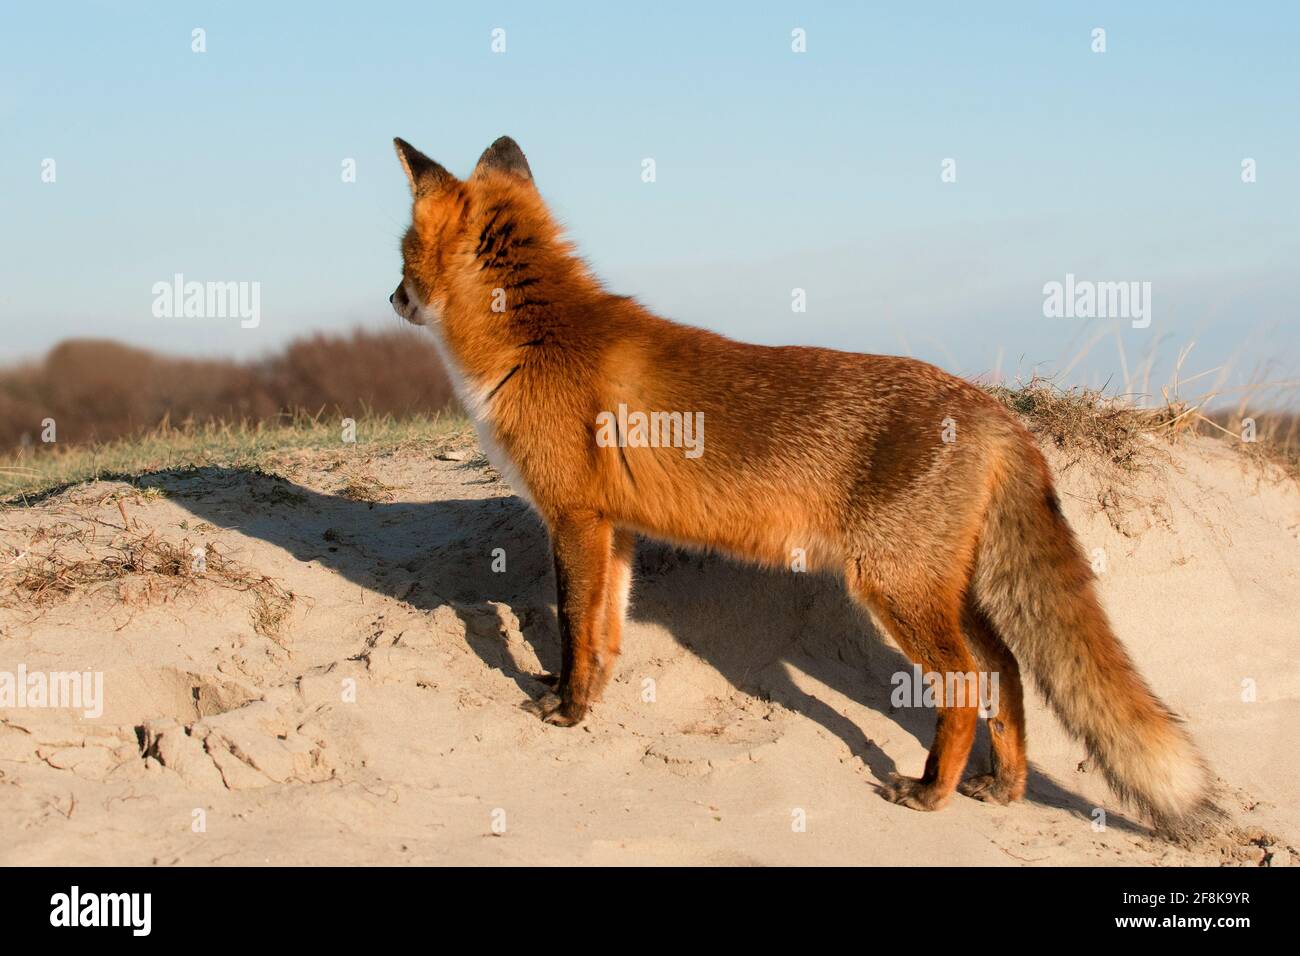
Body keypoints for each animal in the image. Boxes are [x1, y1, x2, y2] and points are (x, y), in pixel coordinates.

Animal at [389, 135, 1215, 834]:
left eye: (400, 249)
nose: (392, 298)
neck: (538, 340)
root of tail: (996, 411)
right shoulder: (614, 528)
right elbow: (607, 633)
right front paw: (592, 702)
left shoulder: (574, 518)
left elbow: (571, 625)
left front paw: (566, 710)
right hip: (944, 590)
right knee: (1006, 669)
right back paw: (1002, 786)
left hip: (894, 588)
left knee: (963, 681)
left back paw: (932, 791)